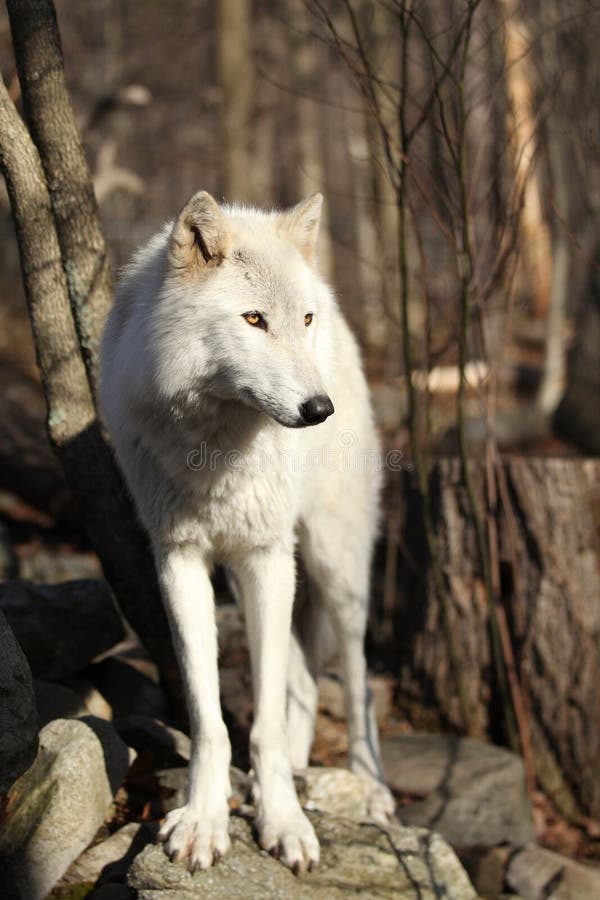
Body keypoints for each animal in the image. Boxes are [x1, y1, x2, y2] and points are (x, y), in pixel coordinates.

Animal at [99, 190, 394, 873]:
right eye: (254, 319)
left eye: (303, 320)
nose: (319, 409)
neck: (215, 448)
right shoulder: (180, 560)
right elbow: (211, 718)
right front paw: (205, 820)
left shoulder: (265, 556)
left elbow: (263, 723)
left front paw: (281, 821)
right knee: (306, 684)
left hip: (333, 566)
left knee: (357, 679)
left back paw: (369, 784)